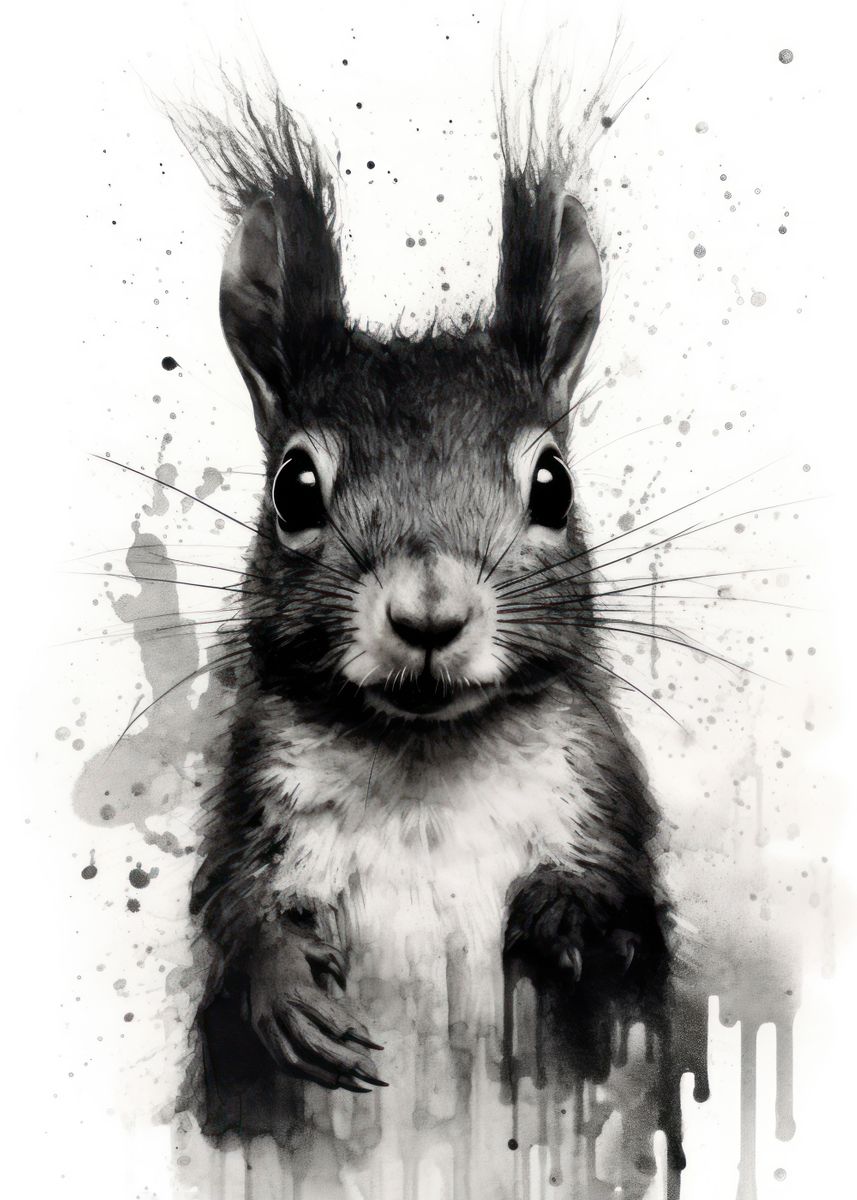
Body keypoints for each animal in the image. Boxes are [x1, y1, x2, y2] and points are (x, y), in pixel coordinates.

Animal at [170, 82, 681, 1190]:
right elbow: (228, 912)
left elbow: (631, 920)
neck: (426, 764)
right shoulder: (250, 803)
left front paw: (570, 915)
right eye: (294, 486)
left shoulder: (607, 796)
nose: (429, 616)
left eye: (552, 484)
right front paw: (280, 983)